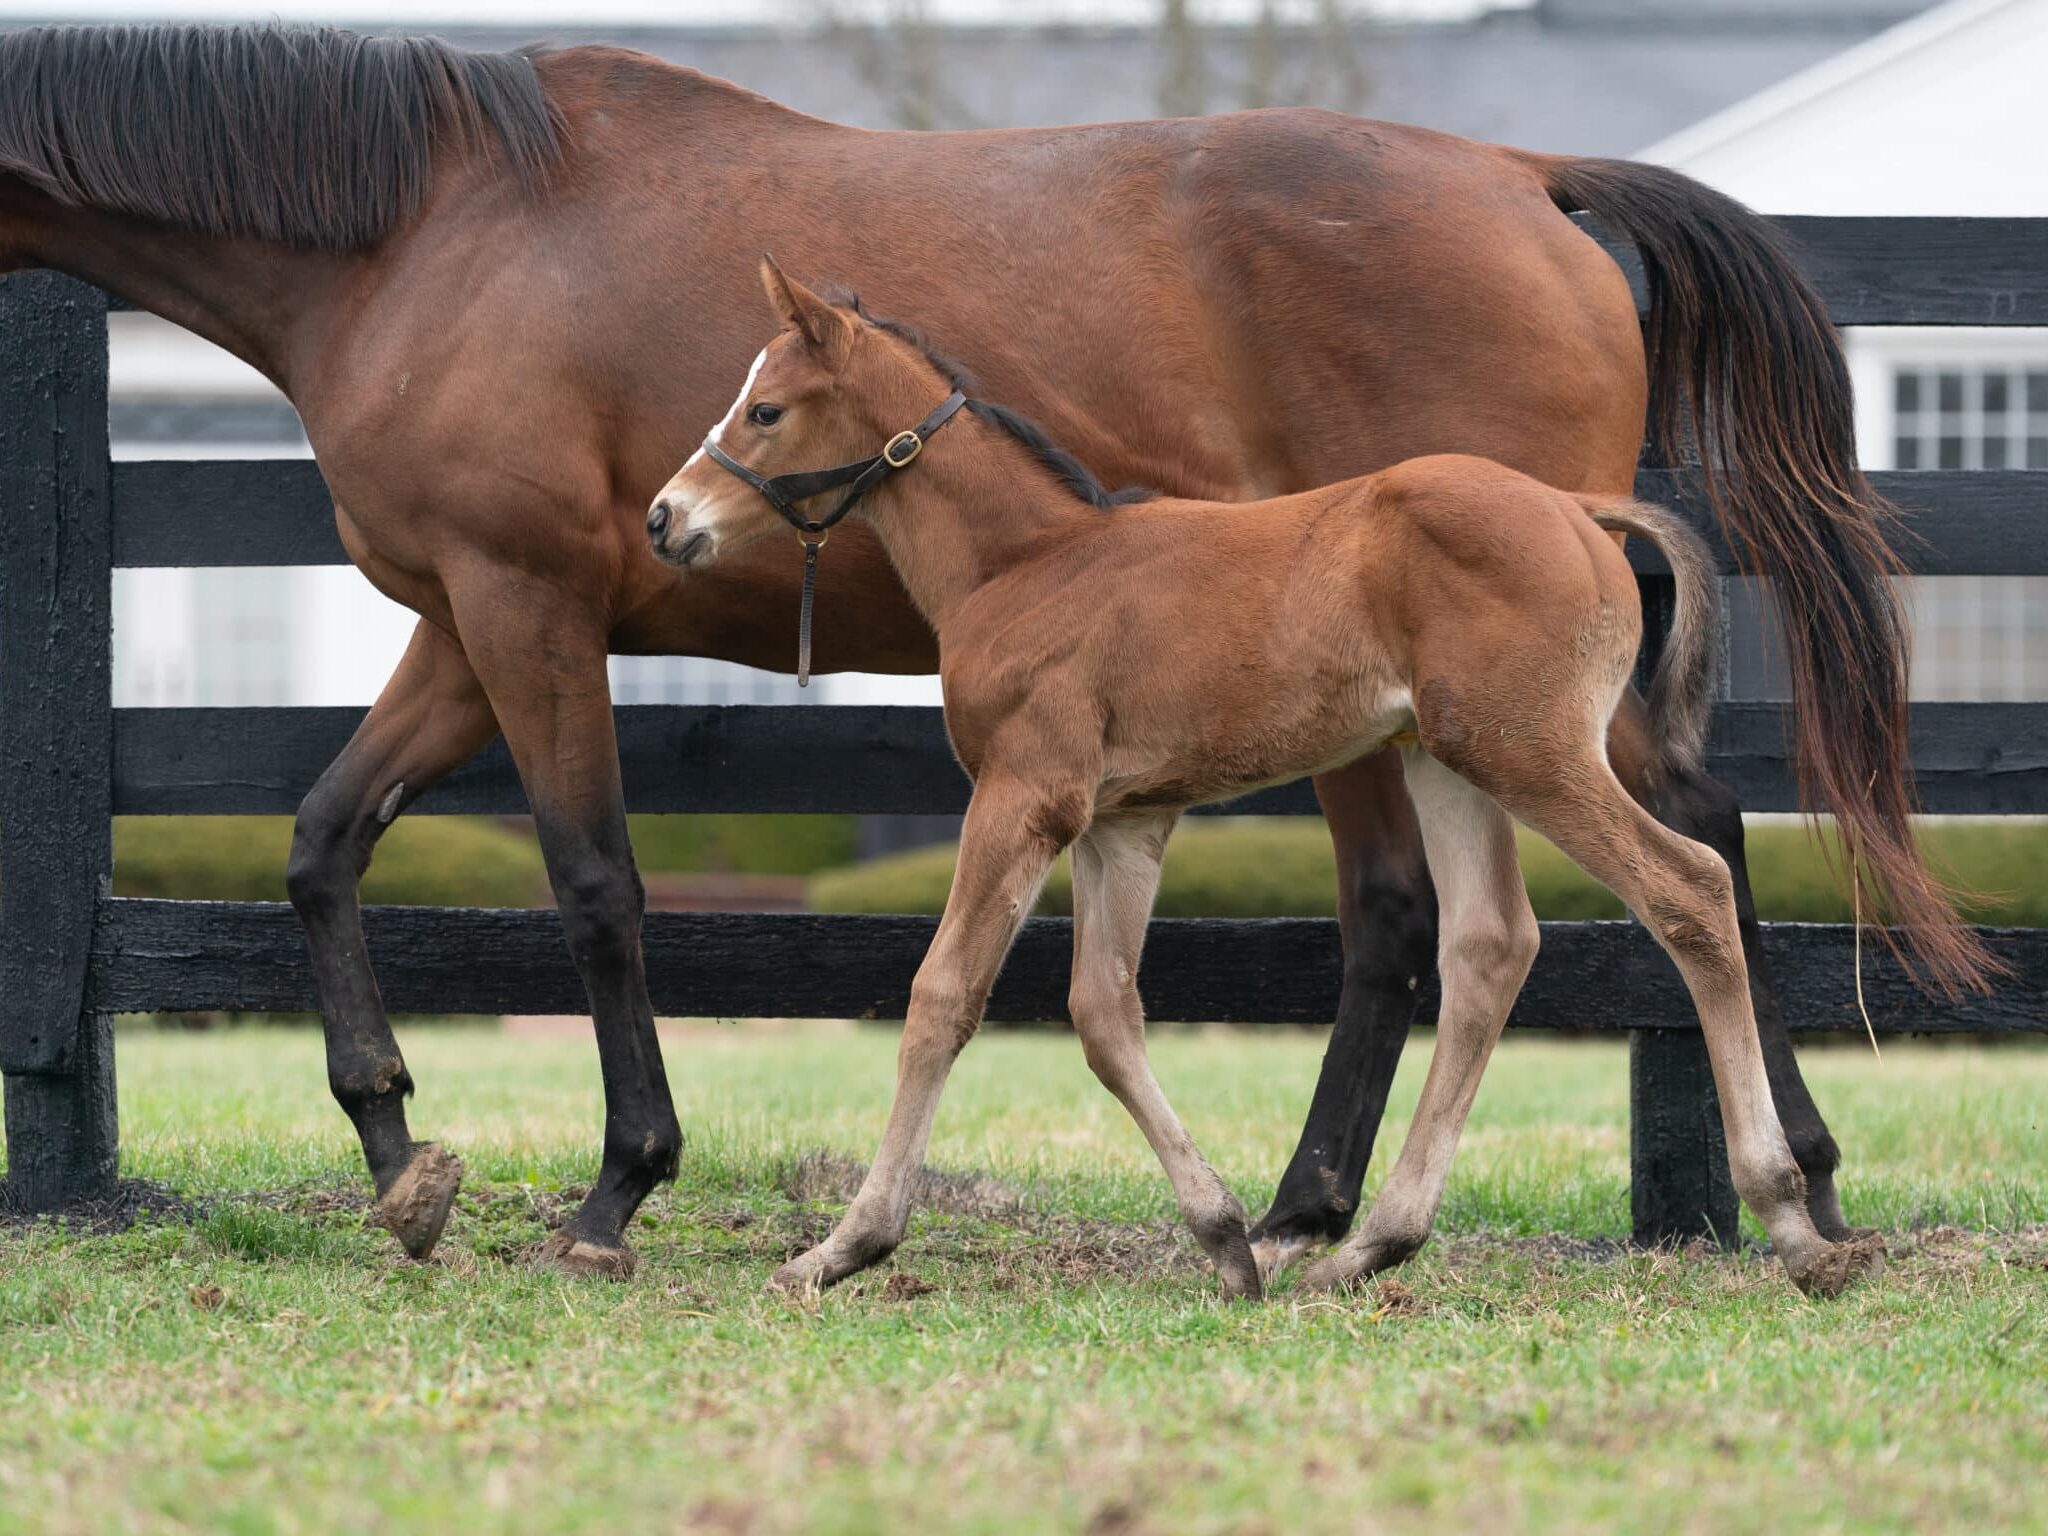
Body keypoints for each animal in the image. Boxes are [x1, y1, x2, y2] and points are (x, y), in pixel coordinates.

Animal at [0, 24, 1984, 1278]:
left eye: (767, 398)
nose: (686, 509)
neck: (427, 226)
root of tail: (1526, 175)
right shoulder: (462, 622)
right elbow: (323, 842)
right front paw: (397, 1154)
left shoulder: (525, 606)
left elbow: (594, 886)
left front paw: (618, 1187)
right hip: (1409, 718)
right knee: (1443, 915)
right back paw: (1327, 1208)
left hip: (1492, 713)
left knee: (1677, 853)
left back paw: (1768, 1184)